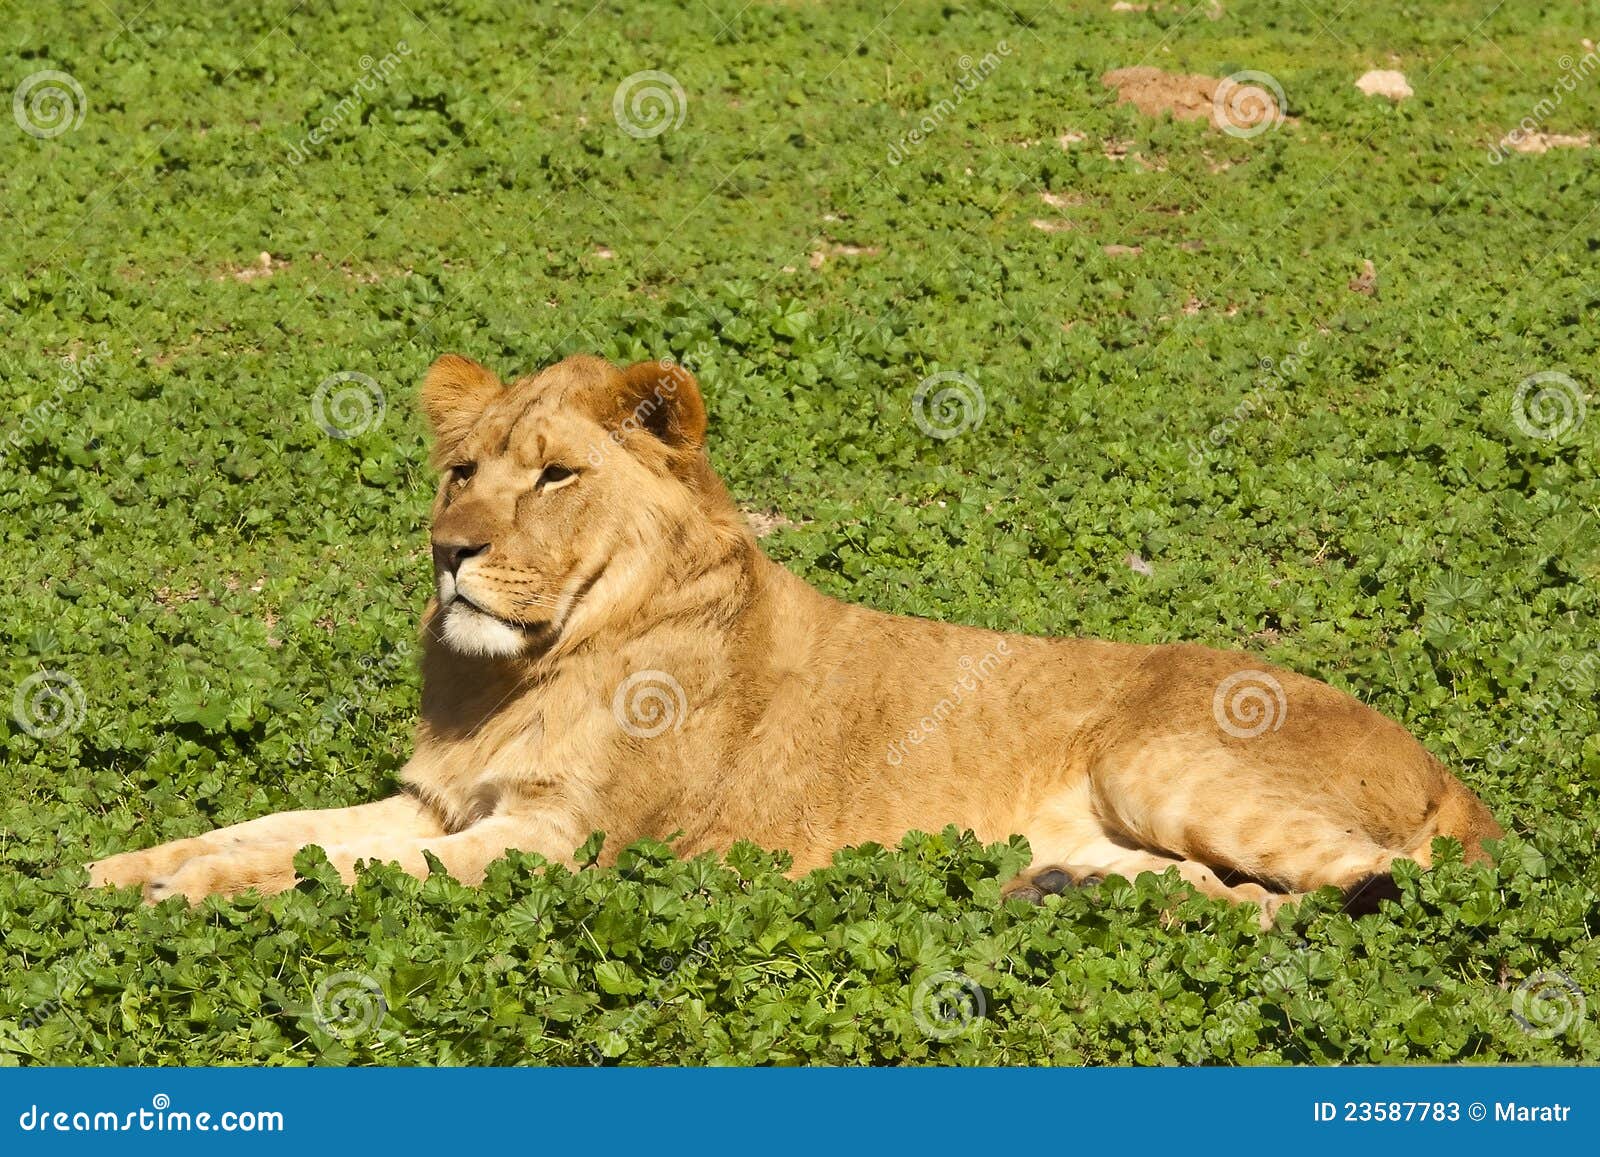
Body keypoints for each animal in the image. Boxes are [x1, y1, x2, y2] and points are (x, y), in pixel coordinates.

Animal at [89, 353, 1502, 925]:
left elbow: (325, 868)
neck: (520, 670)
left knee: (1369, 881)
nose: (451, 552)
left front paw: (190, 891)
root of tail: (1446, 768)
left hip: (1166, 761)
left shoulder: (552, 843)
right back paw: (1051, 887)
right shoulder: (441, 802)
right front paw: (128, 863)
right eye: (460, 470)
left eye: (554, 476)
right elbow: (278, 826)